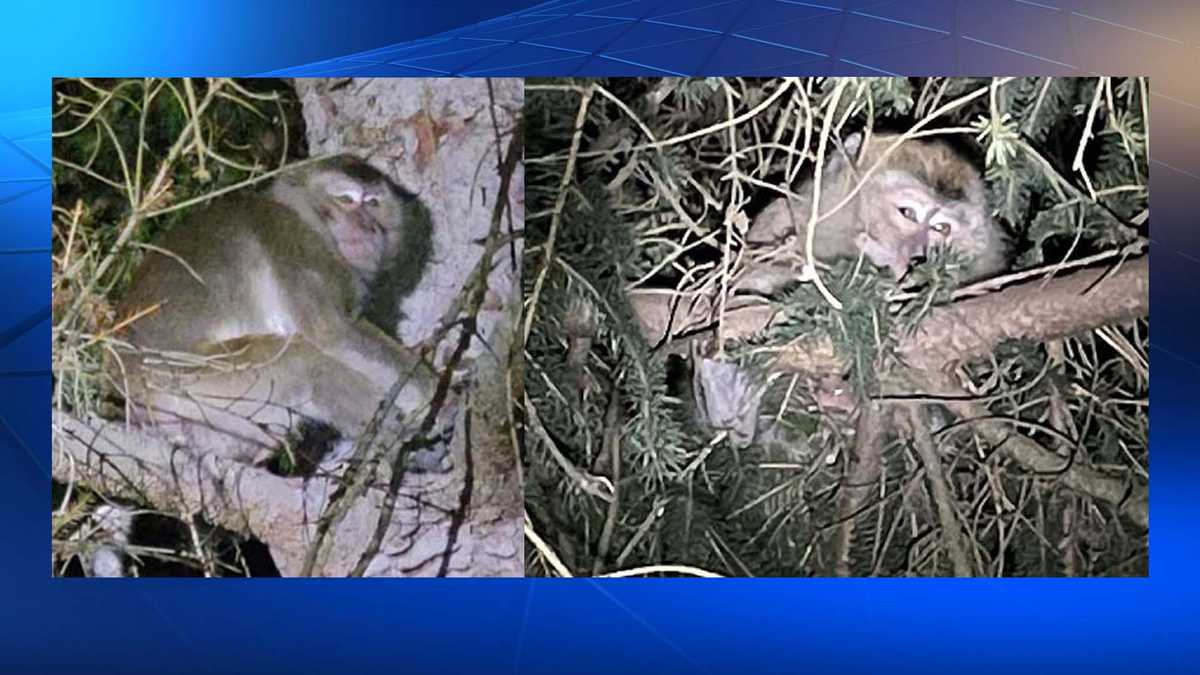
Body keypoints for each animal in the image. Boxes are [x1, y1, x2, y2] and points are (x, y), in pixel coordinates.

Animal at [110, 154, 440, 467]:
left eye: (373, 203)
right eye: (346, 199)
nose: (367, 227)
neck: (307, 217)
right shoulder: (297, 244)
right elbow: (331, 332)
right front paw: (435, 393)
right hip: (188, 377)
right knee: (307, 362)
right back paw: (395, 443)